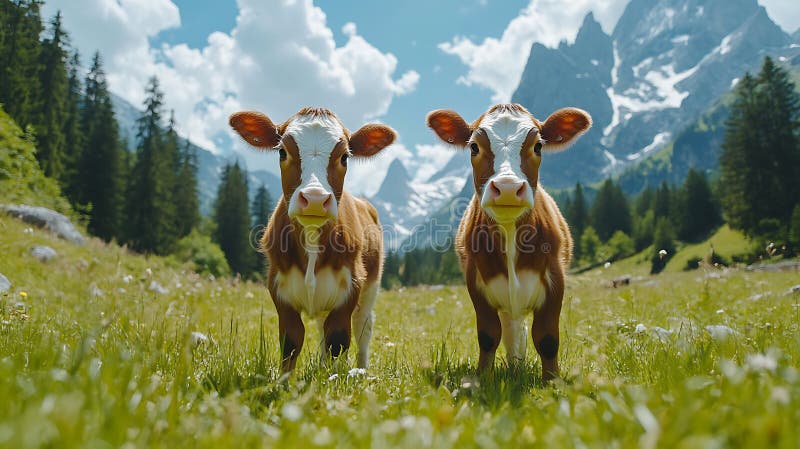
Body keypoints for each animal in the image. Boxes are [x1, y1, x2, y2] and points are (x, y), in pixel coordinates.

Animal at [229, 107, 395, 373]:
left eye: (345, 157)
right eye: (282, 151)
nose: (315, 199)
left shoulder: (352, 286)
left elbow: (338, 339)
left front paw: (335, 378)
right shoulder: (278, 288)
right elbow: (291, 341)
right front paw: (286, 381)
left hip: (371, 287)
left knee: (363, 327)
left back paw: (360, 369)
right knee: (321, 328)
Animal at [426, 103, 591, 380]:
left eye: (538, 146)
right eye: (474, 147)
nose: (507, 188)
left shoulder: (556, 280)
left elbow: (547, 339)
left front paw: (552, 381)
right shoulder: (476, 284)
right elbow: (488, 336)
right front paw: (483, 378)